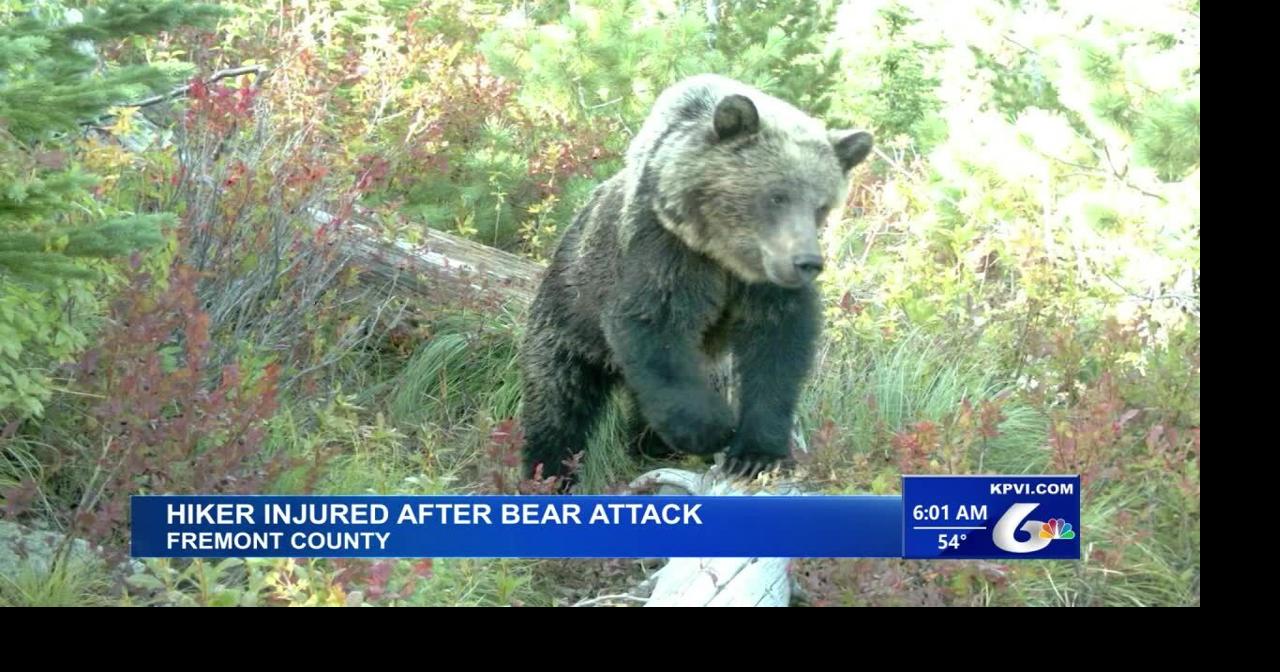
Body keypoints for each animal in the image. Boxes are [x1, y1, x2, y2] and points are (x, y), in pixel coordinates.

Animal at [519, 74, 872, 486]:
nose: (806, 262)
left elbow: (777, 349)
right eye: (776, 196)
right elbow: (655, 325)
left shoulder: (763, 284)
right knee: (558, 400)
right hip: (569, 318)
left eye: (821, 206)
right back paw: (548, 471)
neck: (724, 254)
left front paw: (756, 454)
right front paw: (712, 429)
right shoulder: (665, 248)